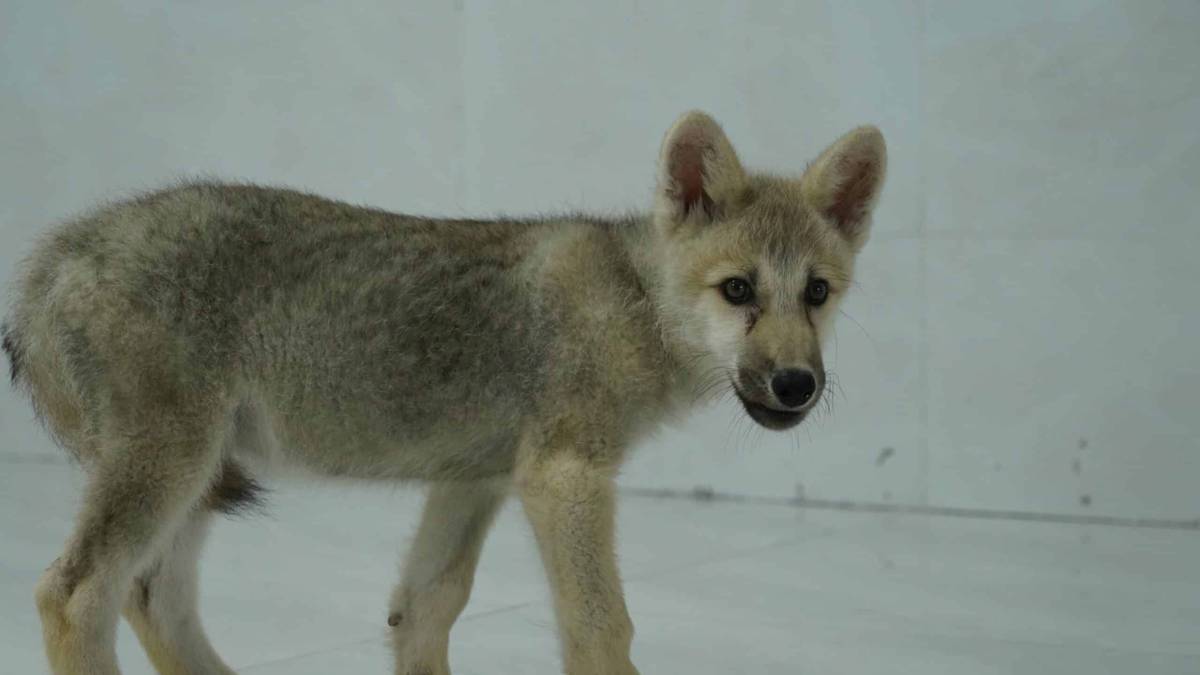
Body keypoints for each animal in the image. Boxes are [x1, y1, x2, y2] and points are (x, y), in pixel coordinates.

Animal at [3, 111, 885, 674]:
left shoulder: (474, 481)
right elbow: (603, 628)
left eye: (817, 293)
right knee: (74, 593)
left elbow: (426, 606)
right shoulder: (563, 478)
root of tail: (54, 255)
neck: (634, 300)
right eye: (738, 290)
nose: (797, 384)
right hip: (168, 467)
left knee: (150, 596)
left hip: (193, 479)